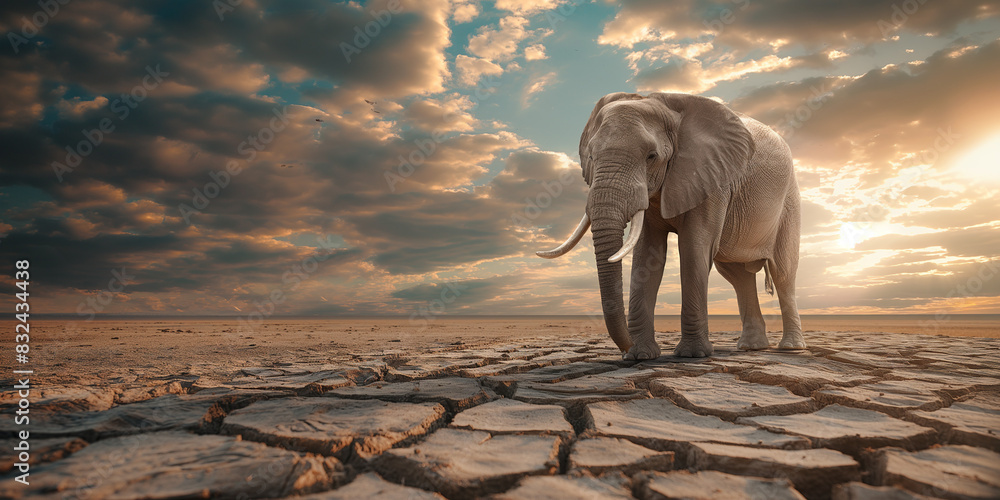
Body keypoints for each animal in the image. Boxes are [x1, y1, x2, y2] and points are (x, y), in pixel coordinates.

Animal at [537, 92, 805, 359]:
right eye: (591, 156)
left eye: (651, 157)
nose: (625, 349)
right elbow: (646, 254)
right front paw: (640, 355)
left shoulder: (711, 179)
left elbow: (694, 248)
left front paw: (692, 355)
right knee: (738, 277)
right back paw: (751, 347)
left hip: (789, 203)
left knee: (783, 272)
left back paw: (791, 347)